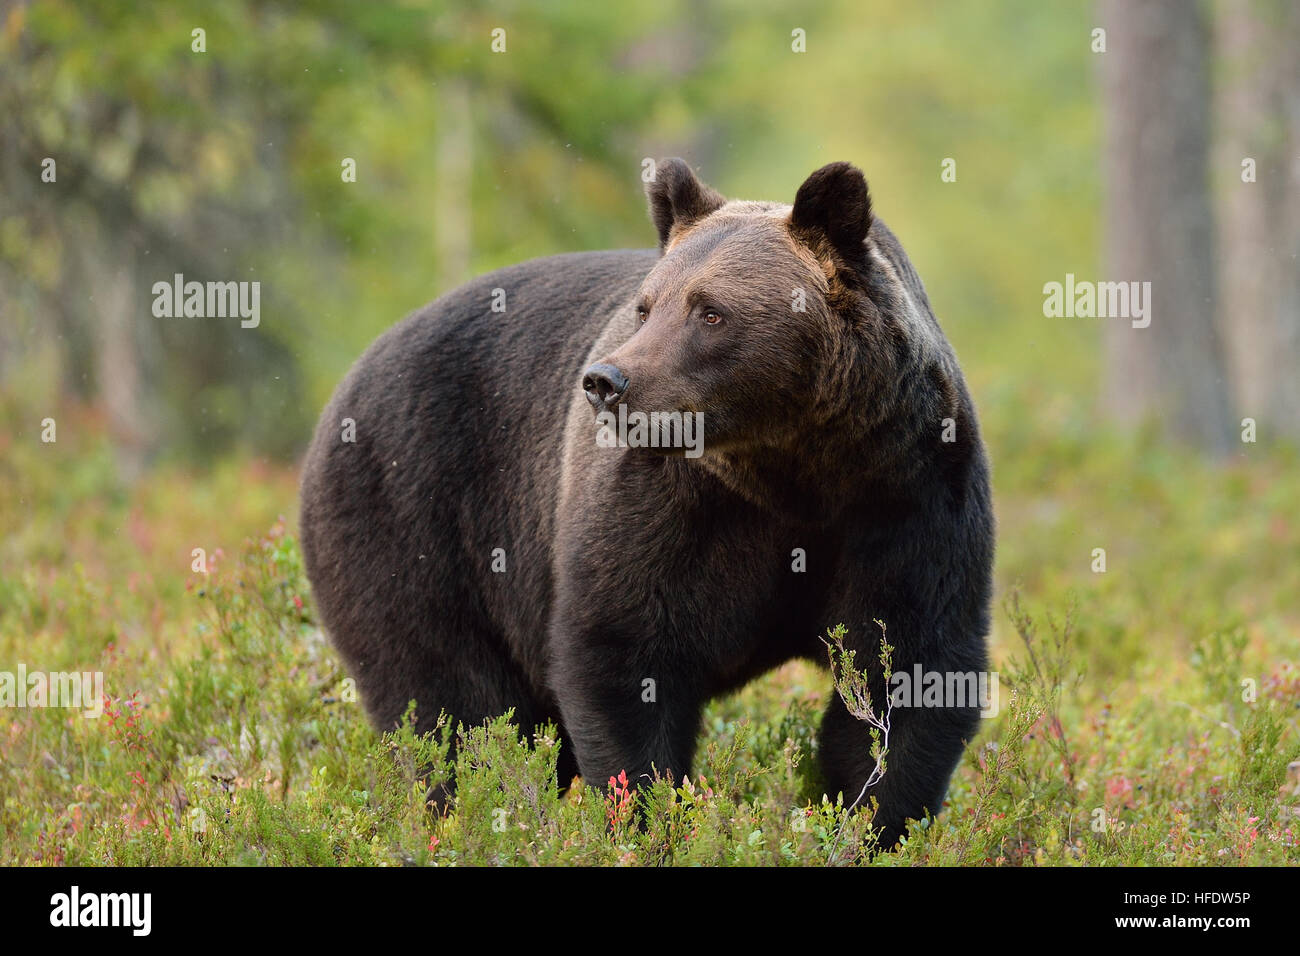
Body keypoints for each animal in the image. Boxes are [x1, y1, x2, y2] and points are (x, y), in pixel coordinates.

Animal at [299, 158, 994, 847]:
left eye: (710, 312)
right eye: (645, 306)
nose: (605, 382)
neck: (792, 470)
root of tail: (343, 390)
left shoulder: (908, 494)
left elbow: (911, 669)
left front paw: (873, 823)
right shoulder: (664, 506)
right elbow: (624, 652)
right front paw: (647, 817)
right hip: (411, 514)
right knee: (450, 703)